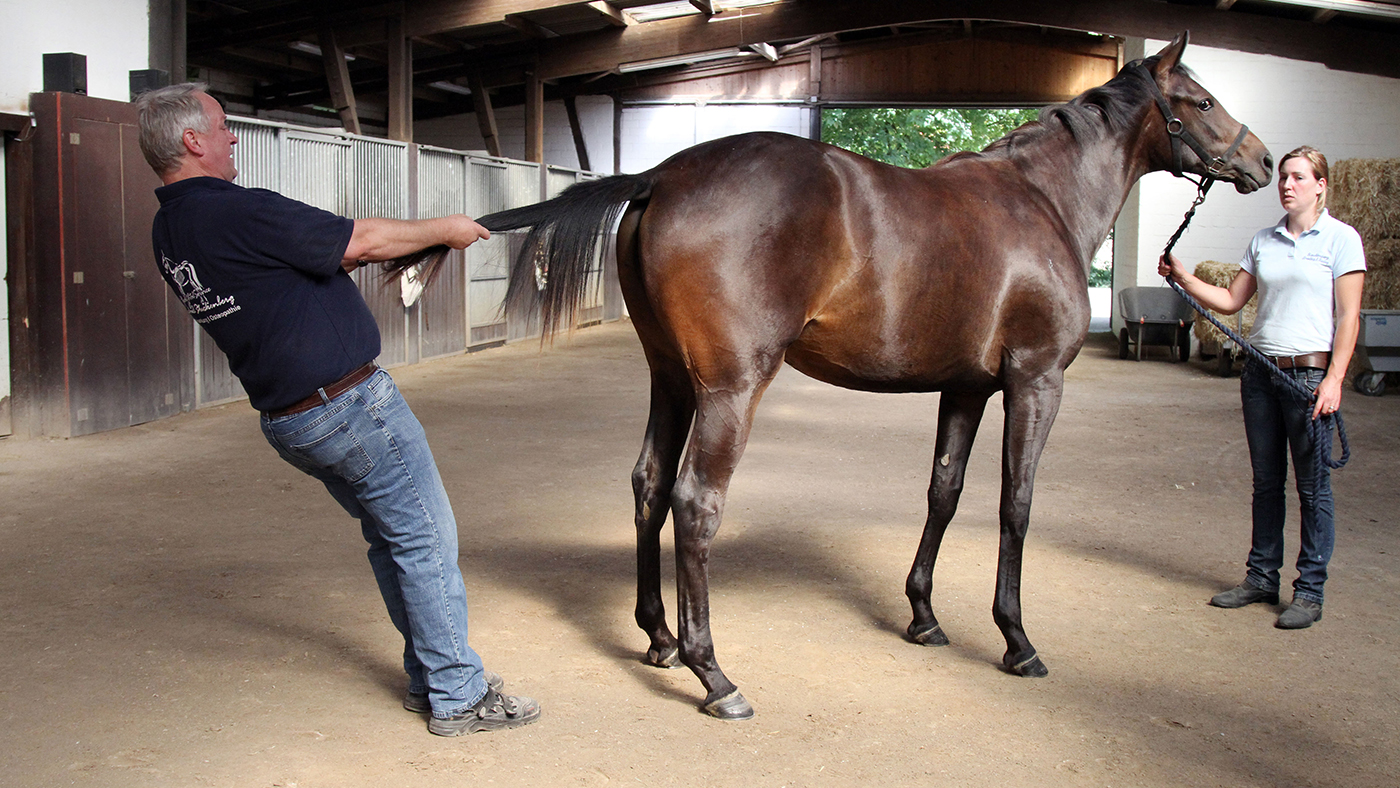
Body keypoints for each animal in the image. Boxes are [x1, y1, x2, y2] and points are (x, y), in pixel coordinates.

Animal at [417, 32, 1272, 720]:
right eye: (1199, 100)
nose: (1262, 160)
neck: (1041, 202)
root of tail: (658, 176)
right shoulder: (1035, 383)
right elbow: (1016, 505)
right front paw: (1017, 639)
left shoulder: (967, 387)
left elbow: (945, 491)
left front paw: (924, 616)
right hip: (730, 389)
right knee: (695, 503)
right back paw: (714, 675)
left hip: (672, 379)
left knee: (650, 485)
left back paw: (658, 636)